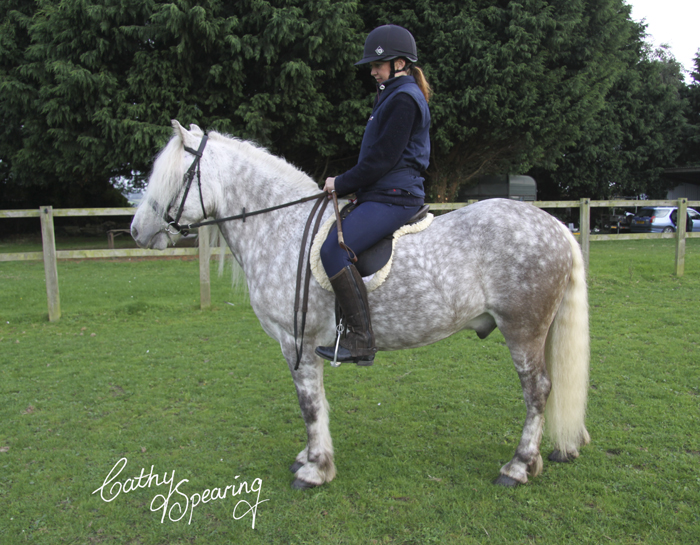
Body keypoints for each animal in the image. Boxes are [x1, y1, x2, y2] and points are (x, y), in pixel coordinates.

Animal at [131, 120, 590, 489]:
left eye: (173, 176)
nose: (136, 230)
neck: (280, 226)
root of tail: (554, 224)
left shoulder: (296, 341)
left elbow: (309, 403)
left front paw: (315, 469)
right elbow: (315, 403)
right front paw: (310, 457)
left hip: (523, 330)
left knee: (537, 390)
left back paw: (518, 467)